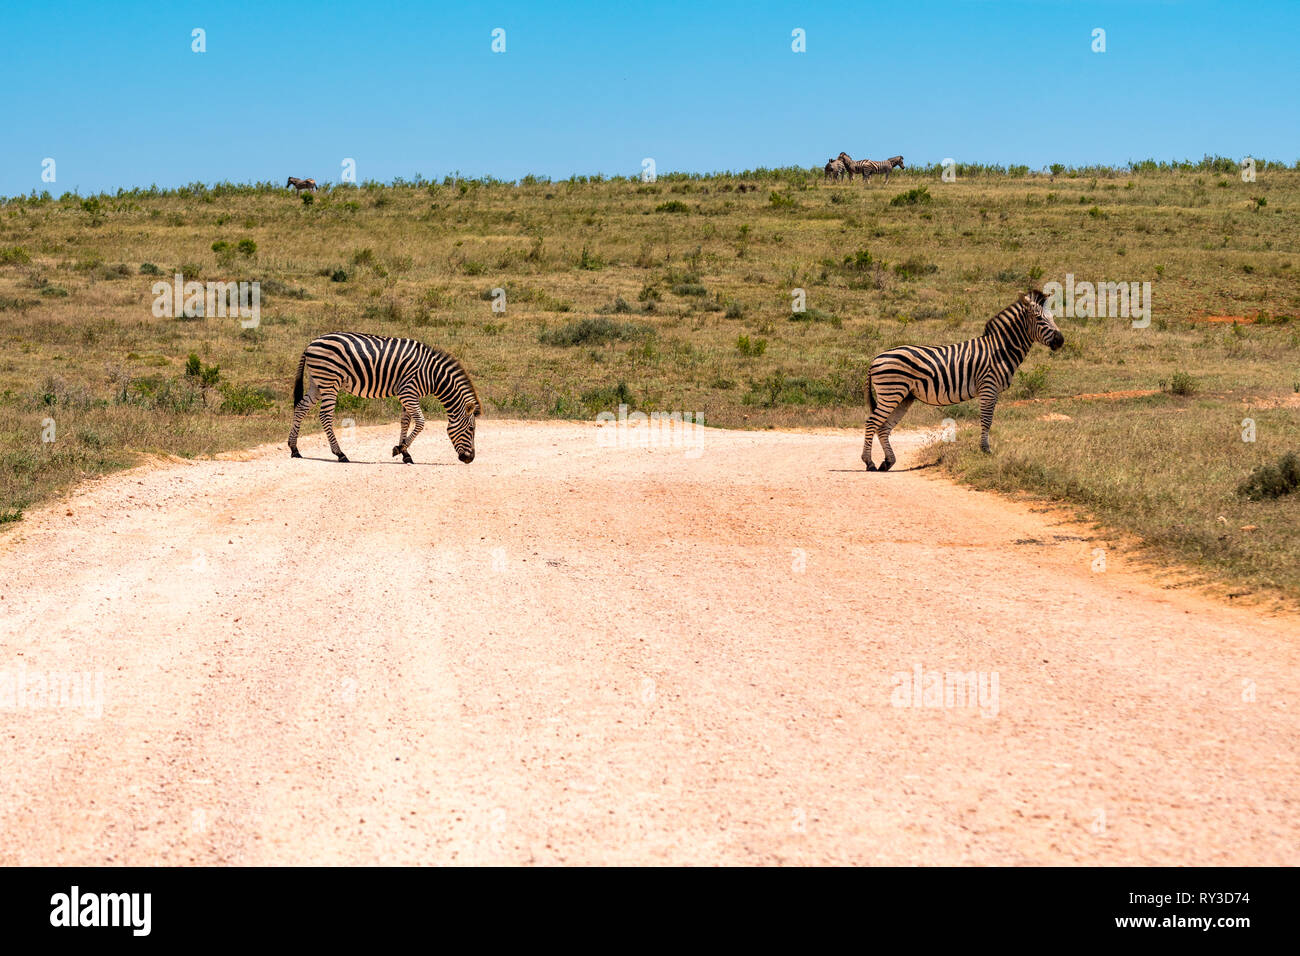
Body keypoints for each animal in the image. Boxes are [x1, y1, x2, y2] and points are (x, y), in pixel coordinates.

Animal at [288, 332, 481, 464]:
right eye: (471, 429)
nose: (470, 459)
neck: (432, 375)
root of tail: (311, 344)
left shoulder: (408, 394)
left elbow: (405, 422)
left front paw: (405, 453)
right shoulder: (408, 392)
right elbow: (420, 422)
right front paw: (399, 449)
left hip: (317, 382)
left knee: (301, 408)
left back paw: (294, 449)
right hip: (329, 381)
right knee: (325, 416)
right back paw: (340, 453)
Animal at [860, 290, 1064, 471]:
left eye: (1052, 317)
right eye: (1039, 319)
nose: (1061, 340)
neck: (1001, 350)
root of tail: (875, 359)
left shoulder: (992, 389)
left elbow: (988, 420)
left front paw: (985, 449)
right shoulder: (989, 386)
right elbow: (987, 420)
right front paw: (985, 450)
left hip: (903, 396)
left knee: (883, 427)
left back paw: (887, 462)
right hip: (891, 392)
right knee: (872, 422)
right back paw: (869, 463)